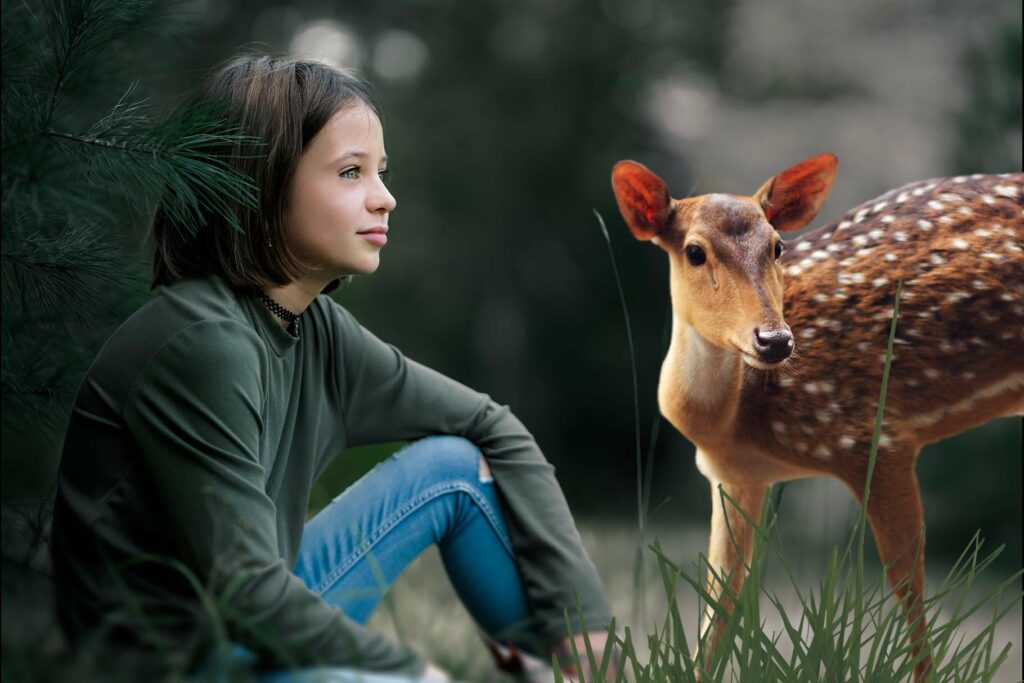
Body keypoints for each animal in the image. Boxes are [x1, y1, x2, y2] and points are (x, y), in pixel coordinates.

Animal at [610, 153, 1024, 682]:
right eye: (694, 252)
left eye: (778, 246)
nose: (774, 340)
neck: (732, 422)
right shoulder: (734, 476)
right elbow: (719, 598)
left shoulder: (874, 438)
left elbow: (908, 583)